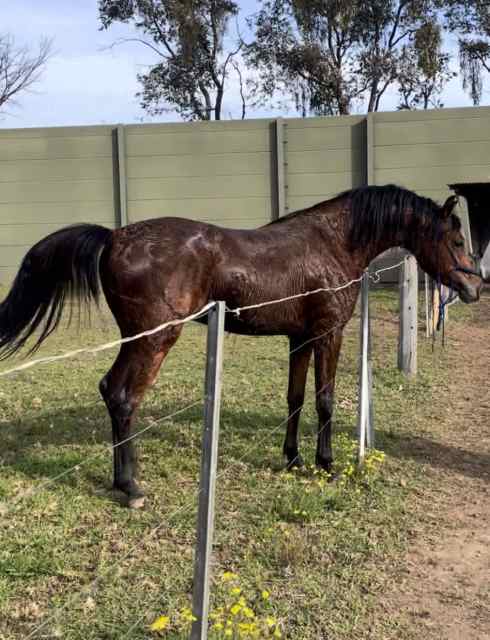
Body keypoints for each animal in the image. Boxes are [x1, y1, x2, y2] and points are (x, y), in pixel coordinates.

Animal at [0, 185, 482, 508]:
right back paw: (130, 486)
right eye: (457, 240)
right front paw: (326, 463)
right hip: (153, 340)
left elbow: (295, 398)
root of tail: (114, 236)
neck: (334, 243)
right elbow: (325, 400)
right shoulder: (328, 334)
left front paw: (293, 459)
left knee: (110, 392)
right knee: (121, 397)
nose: (475, 288)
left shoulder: (299, 339)